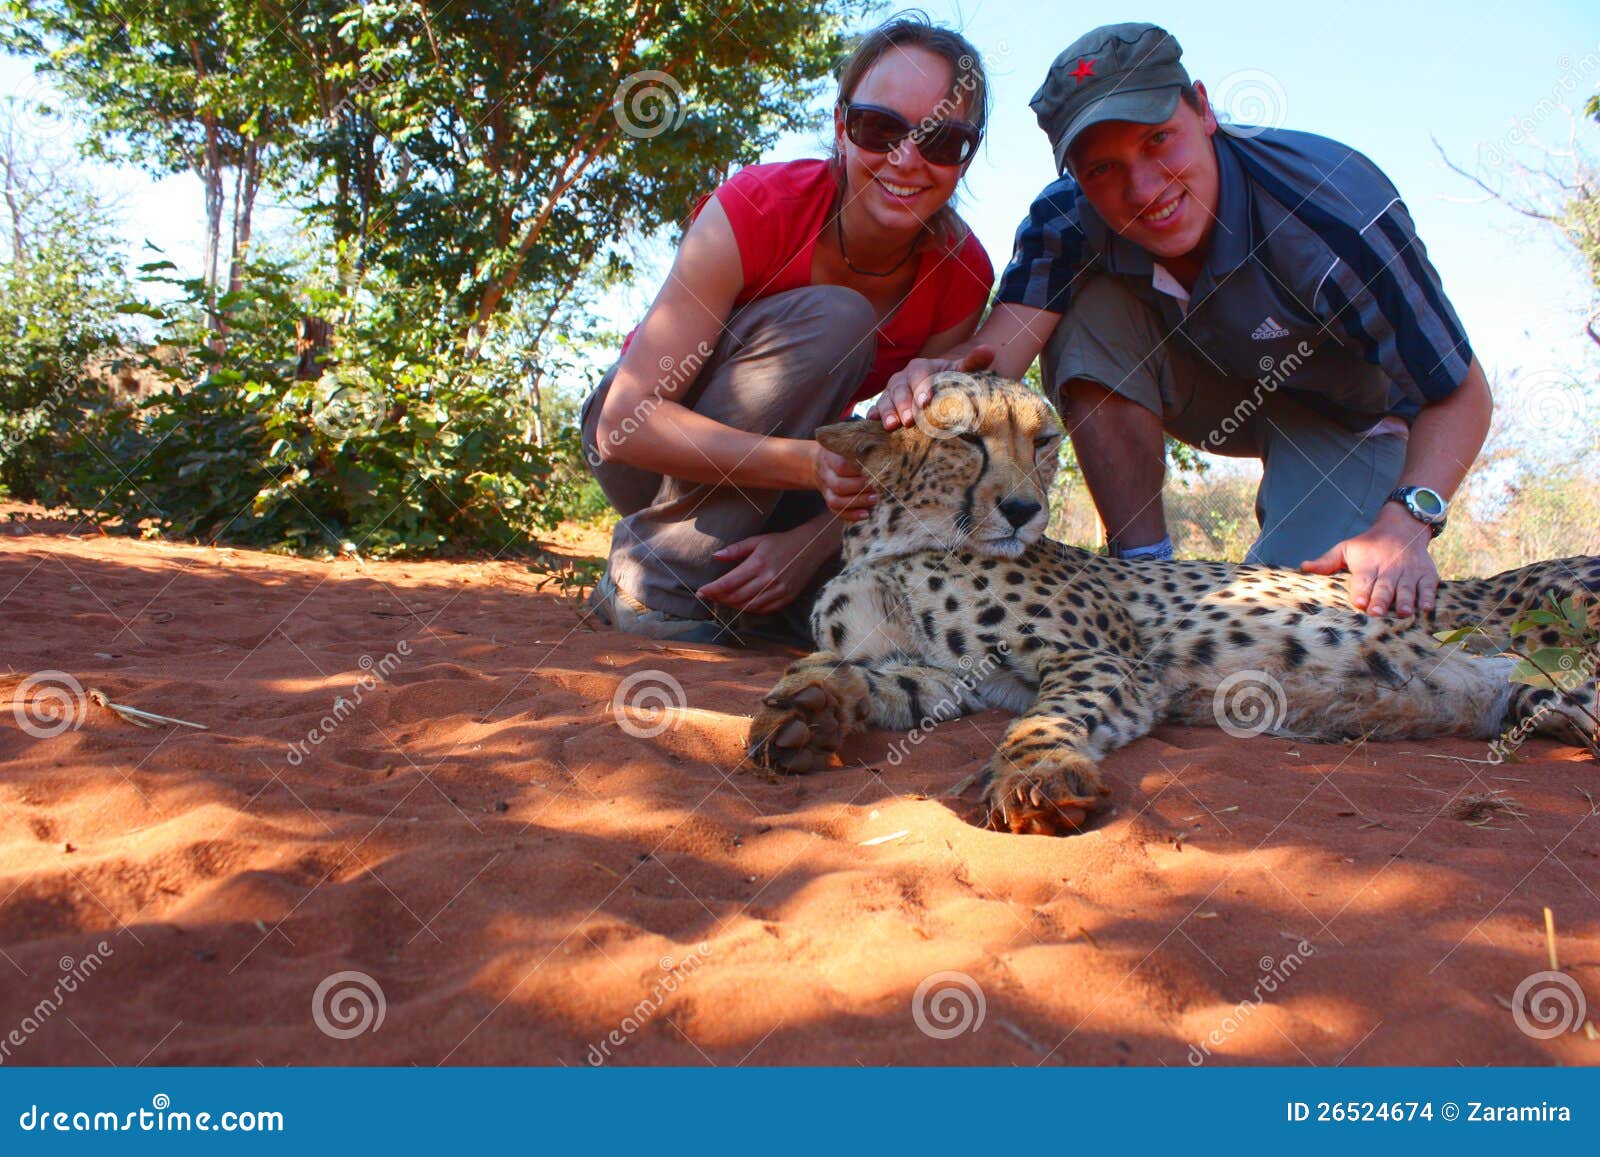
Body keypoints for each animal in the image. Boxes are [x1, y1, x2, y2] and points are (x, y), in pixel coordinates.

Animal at [745, 371, 1600, 836]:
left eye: (1045, 441)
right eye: (966, 439)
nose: (1024, 510)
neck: (898, 546)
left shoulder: (1108, 660)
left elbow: (1045, 717)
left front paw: (1040, 773)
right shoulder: (950, 674)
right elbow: (872, 678)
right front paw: (808, 710)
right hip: (1542, 695)